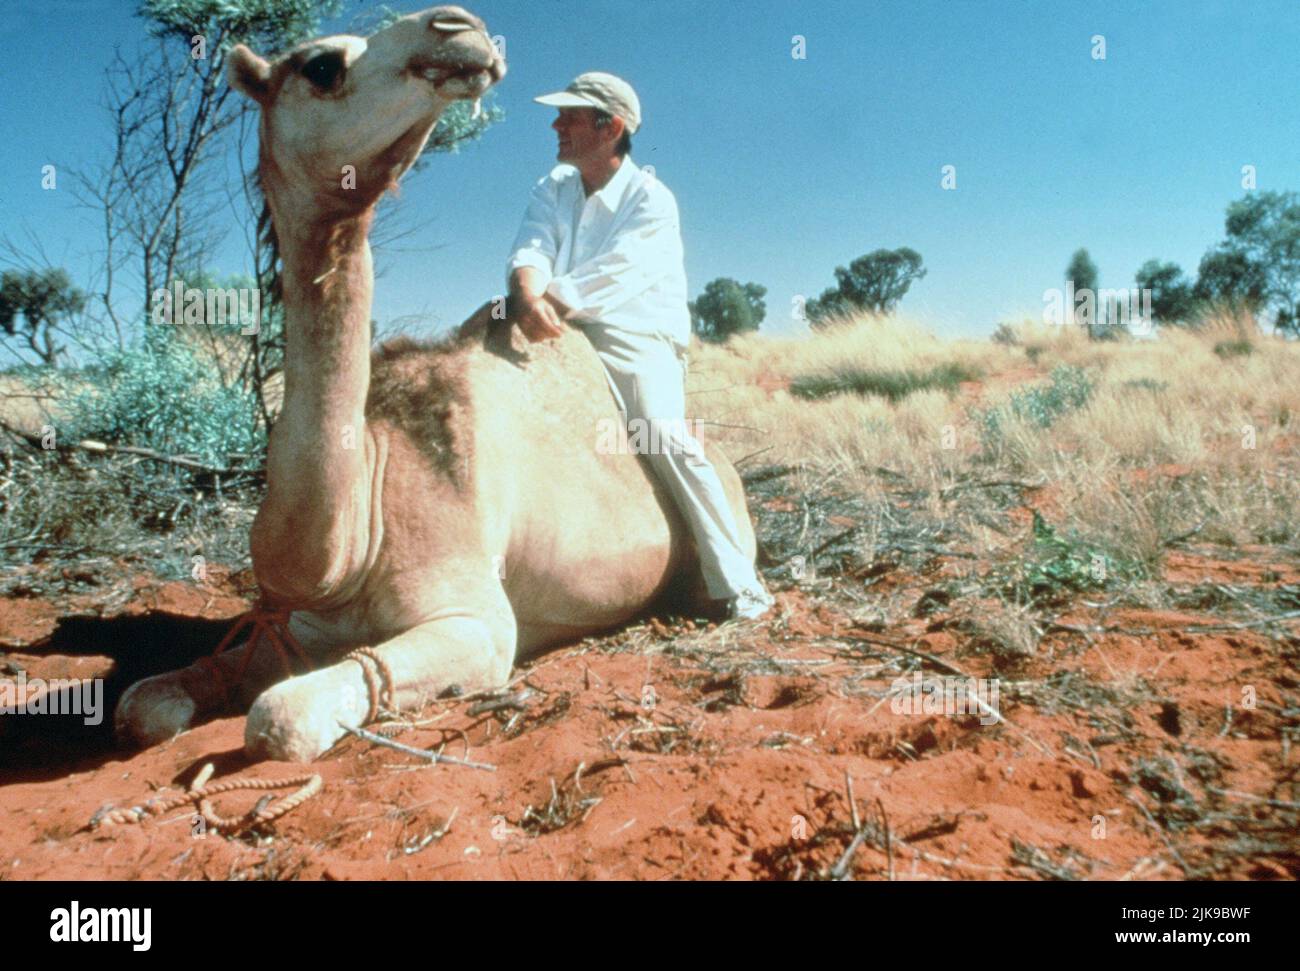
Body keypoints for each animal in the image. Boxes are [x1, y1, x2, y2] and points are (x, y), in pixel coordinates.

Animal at [114, 5, 758, 763]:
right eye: (321, 66)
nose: (458, 28)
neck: (357, 529)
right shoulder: (296, 629)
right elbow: (144, 702)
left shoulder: (476, 622)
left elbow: (281, 717)